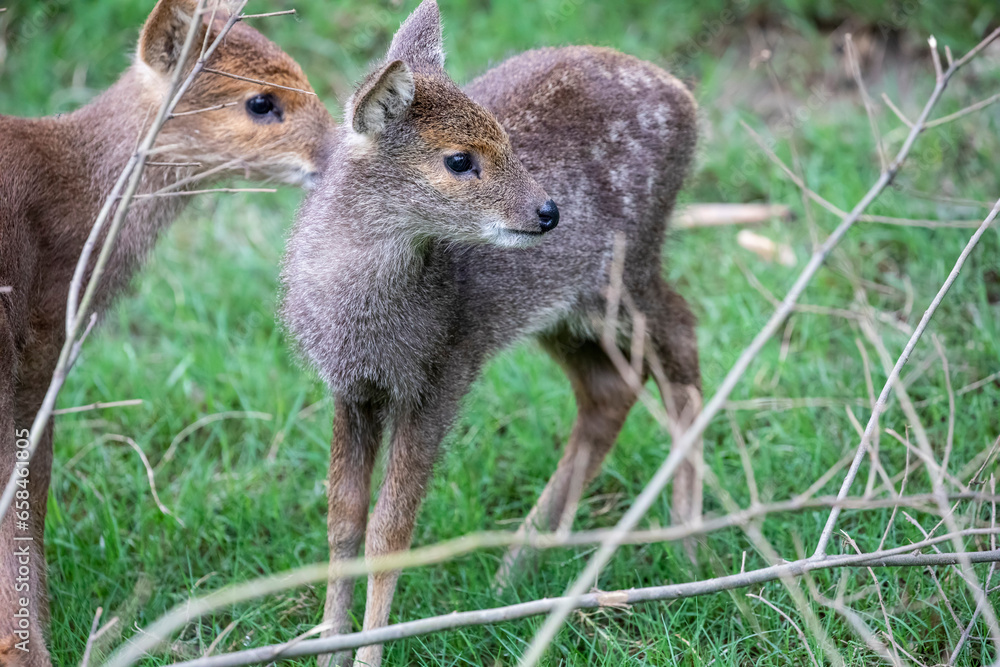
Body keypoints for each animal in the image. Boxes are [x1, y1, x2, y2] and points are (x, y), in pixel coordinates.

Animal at [280, 2, 700, 665]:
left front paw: (370, 650)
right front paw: (328, 648)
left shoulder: (441, 371)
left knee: (682, 338)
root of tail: (685, 97)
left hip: (625, 271)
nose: (548, 212)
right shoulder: (351, 386)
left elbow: (389, 532)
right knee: (611, 389)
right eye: (459, 159)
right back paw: (515, 571)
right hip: (560, 309)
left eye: (505, 139)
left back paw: (687, 542)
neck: (364, 315)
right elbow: (342, 523)